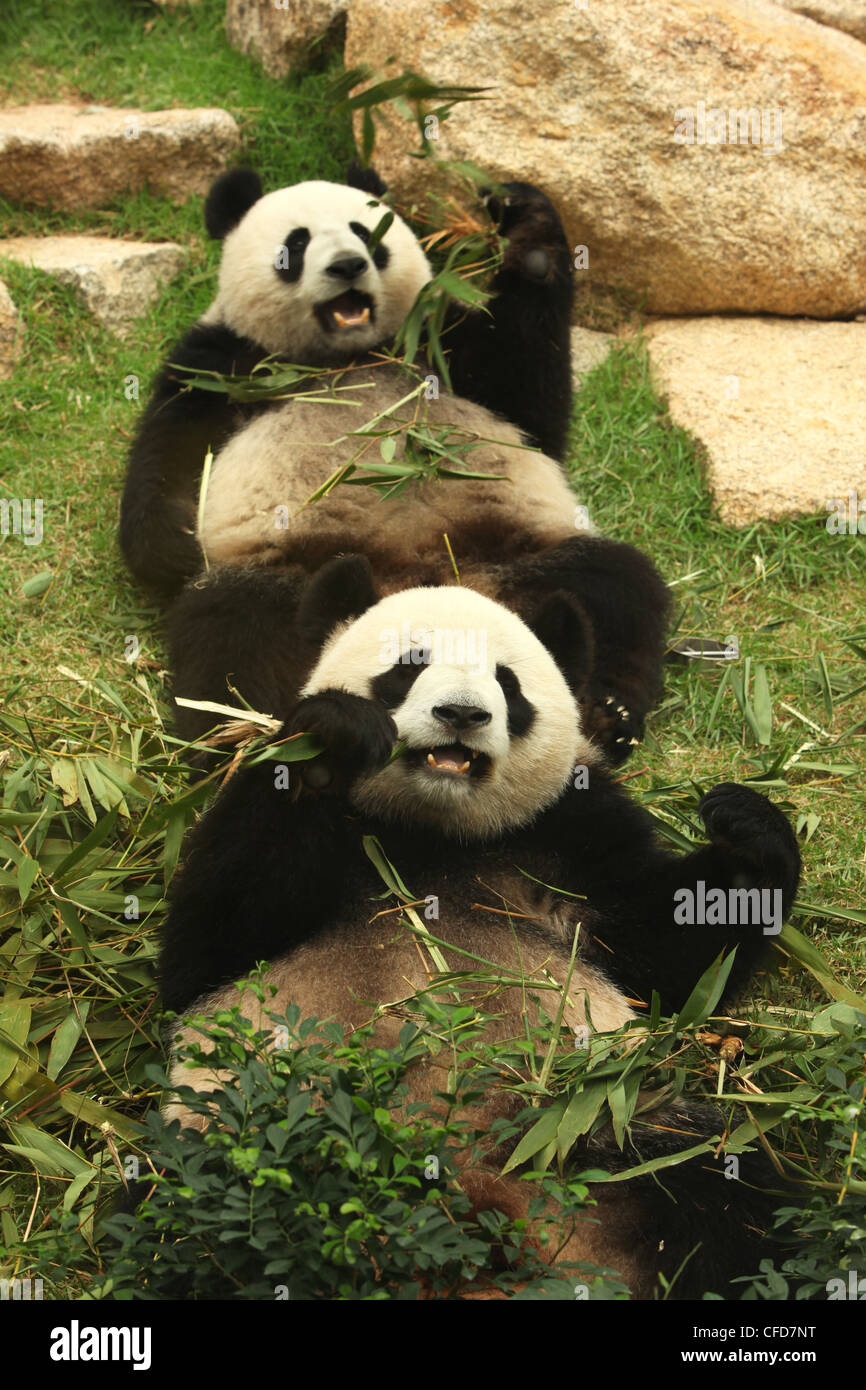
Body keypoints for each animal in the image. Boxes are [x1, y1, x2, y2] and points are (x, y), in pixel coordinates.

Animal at [119, 165, 670, 764]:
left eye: (367, 235)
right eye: (297, 244)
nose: (347, 265)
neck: (353, 354)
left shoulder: (440, 347)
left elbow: (528, 404)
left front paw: (526, 231)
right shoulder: (226, 359)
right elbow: (176, 445)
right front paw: (173, 545)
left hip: (515, 555)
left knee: (613, 588)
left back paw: (604, 714)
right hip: (291, 576)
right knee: (234, 636)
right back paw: (267, 737)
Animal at [159, 566, 801, 1299]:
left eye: (508, 683)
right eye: (408, 665)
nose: (463, 715)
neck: (436, 832)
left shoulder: (571, 829)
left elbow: (663, 955)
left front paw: (748, 832)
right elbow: (206, 946)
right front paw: (331, 745)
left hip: (597, 1124)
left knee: (722, 1194)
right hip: (236, 1141)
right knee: (209, 1231)